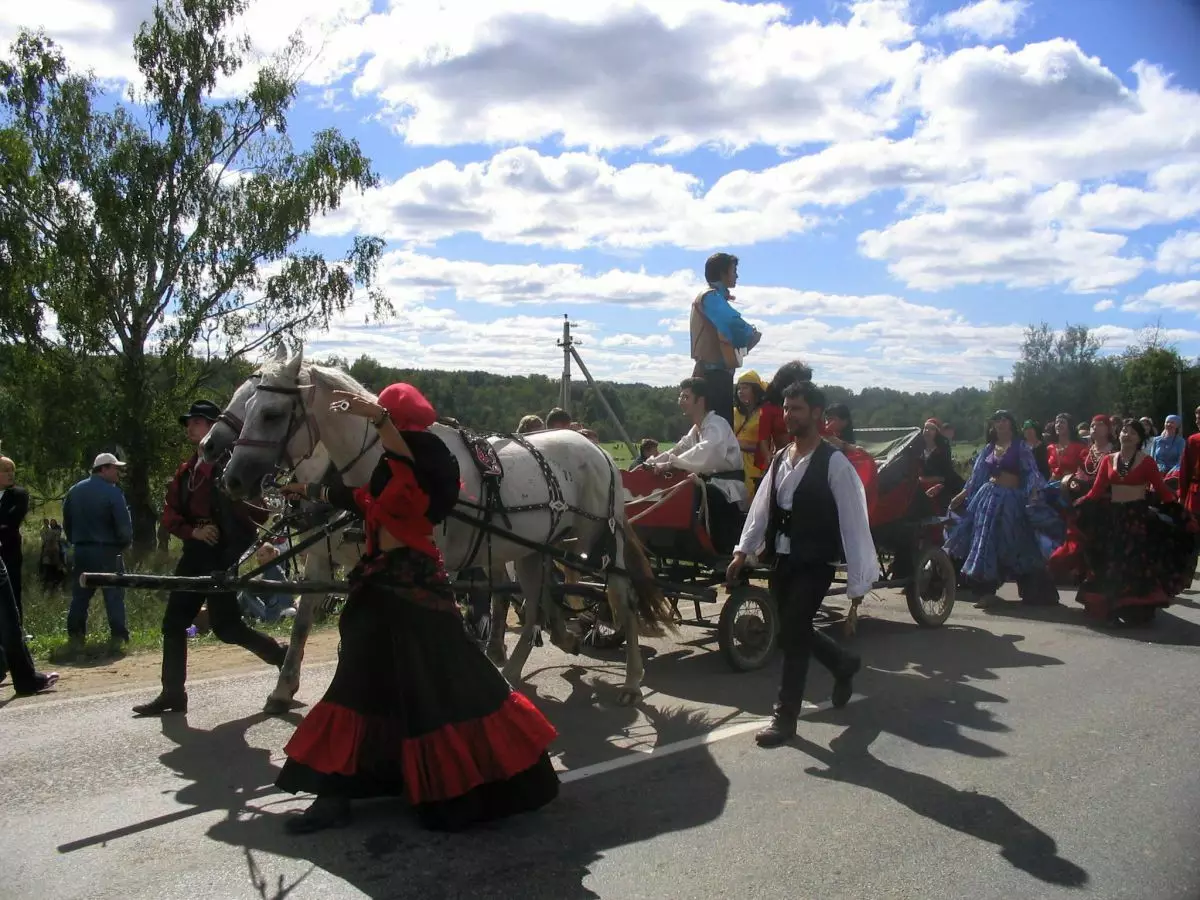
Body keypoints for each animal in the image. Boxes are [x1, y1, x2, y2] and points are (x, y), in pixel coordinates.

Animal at [211, 348, 672, 710]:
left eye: (270, 414)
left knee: (621, 598)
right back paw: (518, 667)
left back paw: (631, 680)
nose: (230, 477)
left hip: (600, 543)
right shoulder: (325, 562)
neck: (388, 464)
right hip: (531, 548)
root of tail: (596, 448)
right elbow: (306, 621)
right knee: (535, 604)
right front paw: (285, 689)